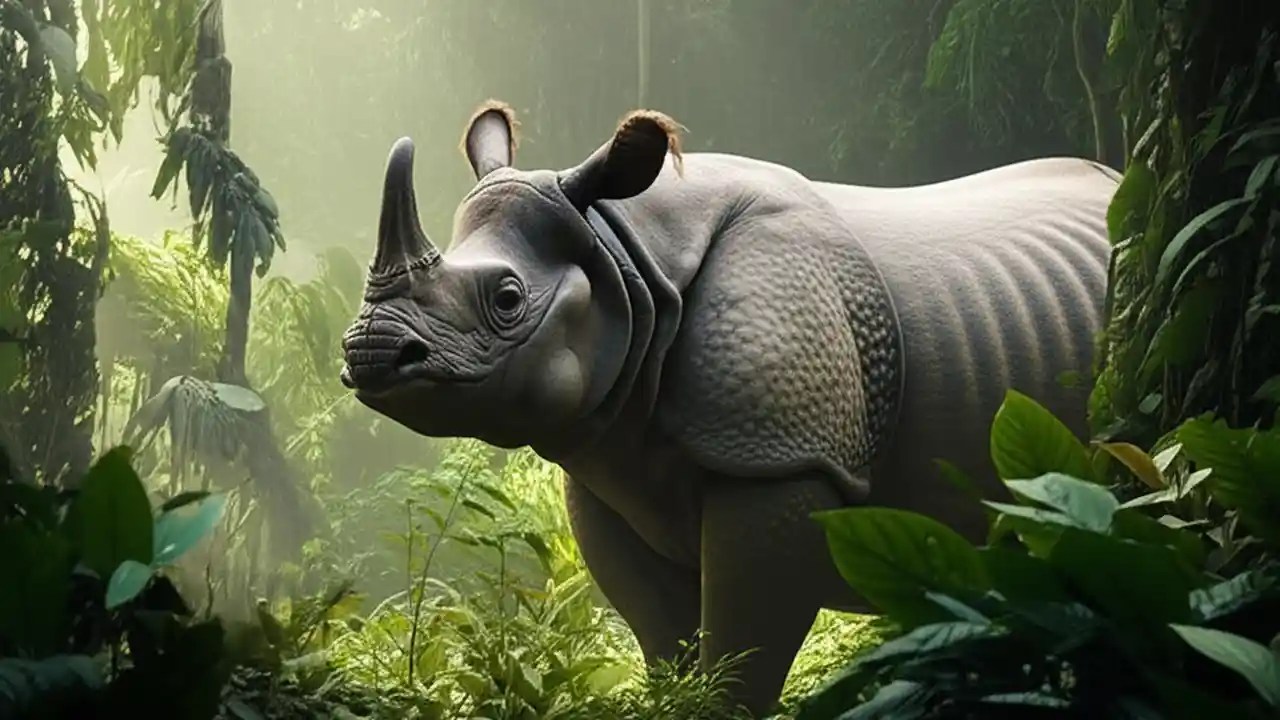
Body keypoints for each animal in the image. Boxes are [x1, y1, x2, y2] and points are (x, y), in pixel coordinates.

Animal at [339, 100, 1117, 715]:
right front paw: (671, 697)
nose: (371, 351)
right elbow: (660, 634)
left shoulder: (784, 457)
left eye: (506, 298)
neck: (626, 252)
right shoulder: (608, 468)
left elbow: (748, 638)